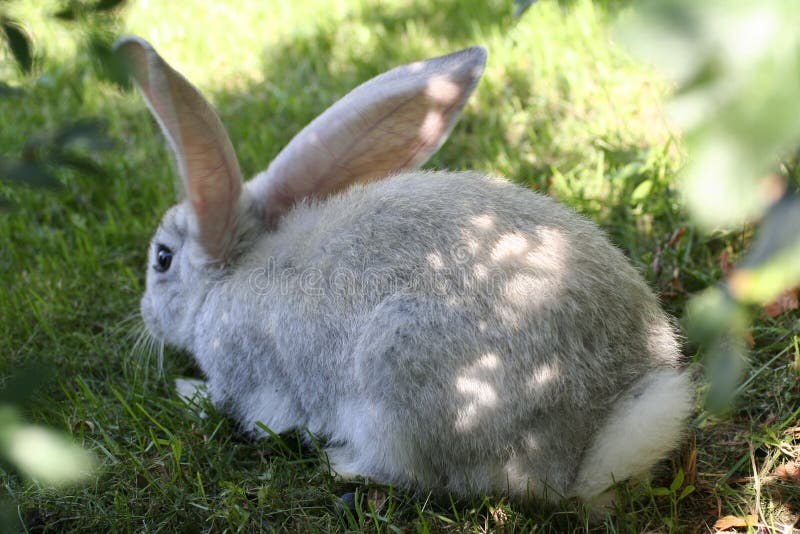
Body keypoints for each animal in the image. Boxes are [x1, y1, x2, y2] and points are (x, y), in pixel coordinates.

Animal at [116, 35, 694, 506]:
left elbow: (230, 404)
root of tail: (587, 444)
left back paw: (341, 463)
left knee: (413, 473)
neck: (230, 273)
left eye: (162, 258)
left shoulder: (245, 377)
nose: (144, 315)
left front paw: (185, 390)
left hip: (399, 371)